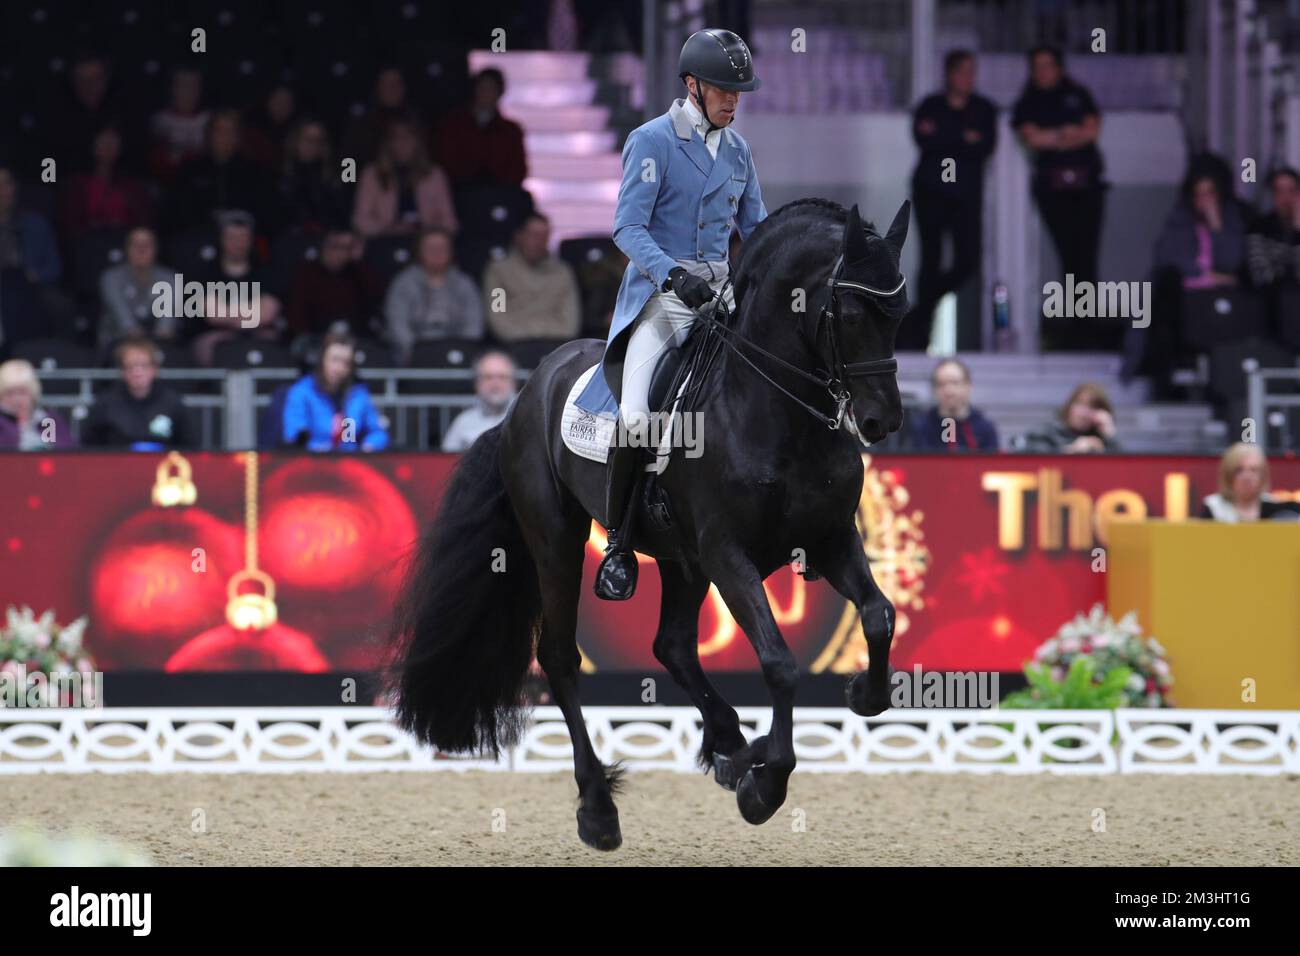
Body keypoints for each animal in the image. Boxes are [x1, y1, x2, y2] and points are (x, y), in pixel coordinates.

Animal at [389, 198, 911, 850]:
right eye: (852, 311)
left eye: (901, 311)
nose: (882, 421)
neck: (776, 411)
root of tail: (525, 394)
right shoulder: (728, 555)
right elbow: (780, 664)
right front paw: (765, 789)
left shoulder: (830, 540)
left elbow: (879, 615)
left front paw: (861, 695)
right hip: (558, 541)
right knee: (561, 657)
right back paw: (600, 808)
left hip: (680, 560)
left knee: (673, 646)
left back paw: (731, 746)